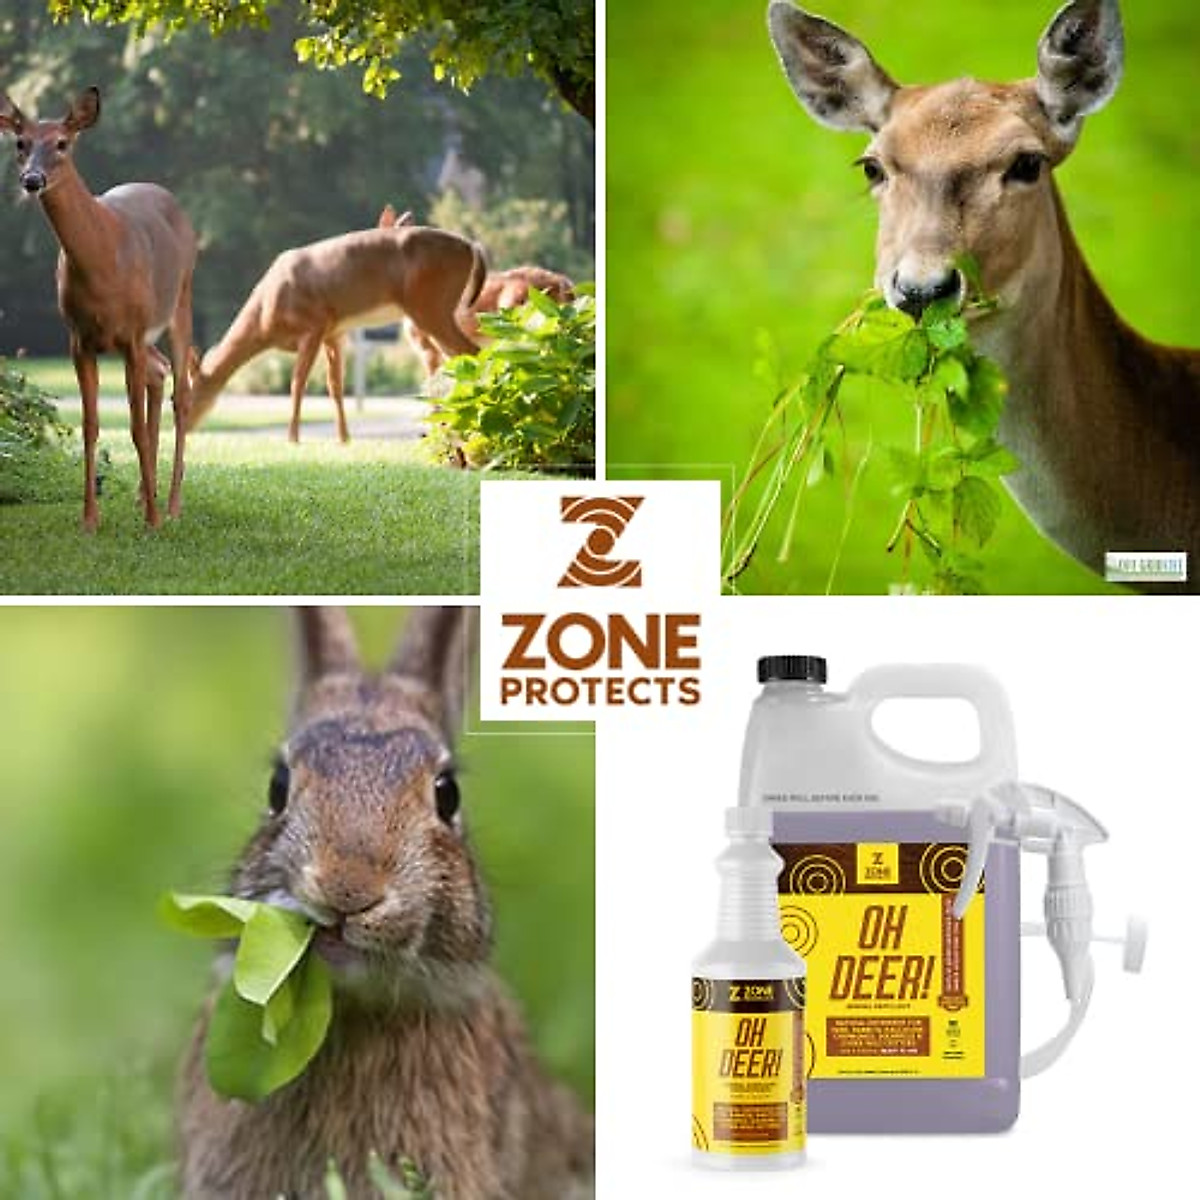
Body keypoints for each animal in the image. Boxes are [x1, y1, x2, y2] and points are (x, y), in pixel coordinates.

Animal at [0, 86, 197, 531]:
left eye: (62, 143)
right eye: (20, 142)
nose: (32, 180)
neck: (103, 262)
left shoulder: (132, 335)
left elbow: (136, 427)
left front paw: (153, 523)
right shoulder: (79, 338)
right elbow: (90, 426)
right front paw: (89, 519)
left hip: (179, 301)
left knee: (182, 394)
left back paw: (172, 506)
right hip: (143, 333)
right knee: (159, 372)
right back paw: (144, 494)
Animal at [186, 206, 486, 444]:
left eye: (185, 398)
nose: (185, 429)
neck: (265, 320)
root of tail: (470, 247)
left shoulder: (313, 325)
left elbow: (297, 383)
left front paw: (292, 439)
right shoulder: (335, 332)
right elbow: (336, 387)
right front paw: (344, 439)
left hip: (430, 305)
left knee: (472, 352)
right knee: (458, 359)